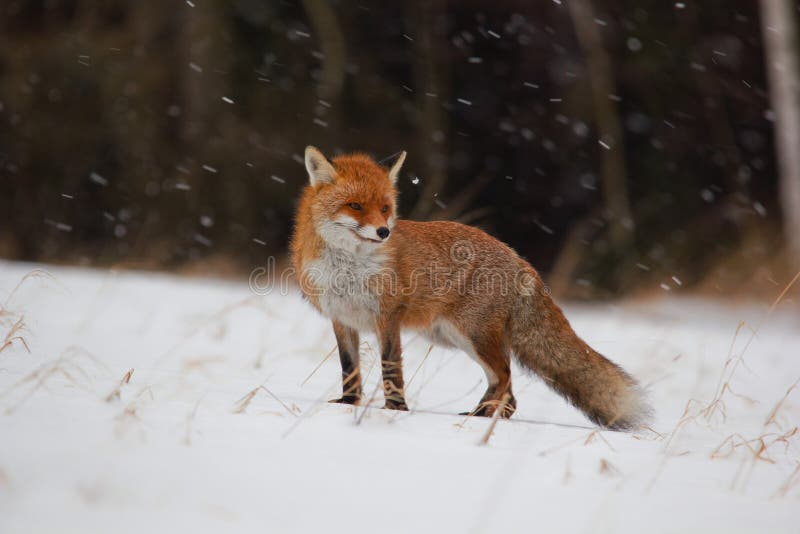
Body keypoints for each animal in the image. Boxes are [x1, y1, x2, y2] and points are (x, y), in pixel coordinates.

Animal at [290, 146, 651, 430]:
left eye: (385, 208)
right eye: (354, 205)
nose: (383, 232)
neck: (347, 269)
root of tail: (520, 260)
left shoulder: (388, 317)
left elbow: (391, 369)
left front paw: (396, 410)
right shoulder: (341, 319)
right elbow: (349, 369)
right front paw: (348, 404)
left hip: (471, 335)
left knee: (504, 377)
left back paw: (477, 418)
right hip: (452, 336)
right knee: (509, 392)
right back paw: (486, 417)